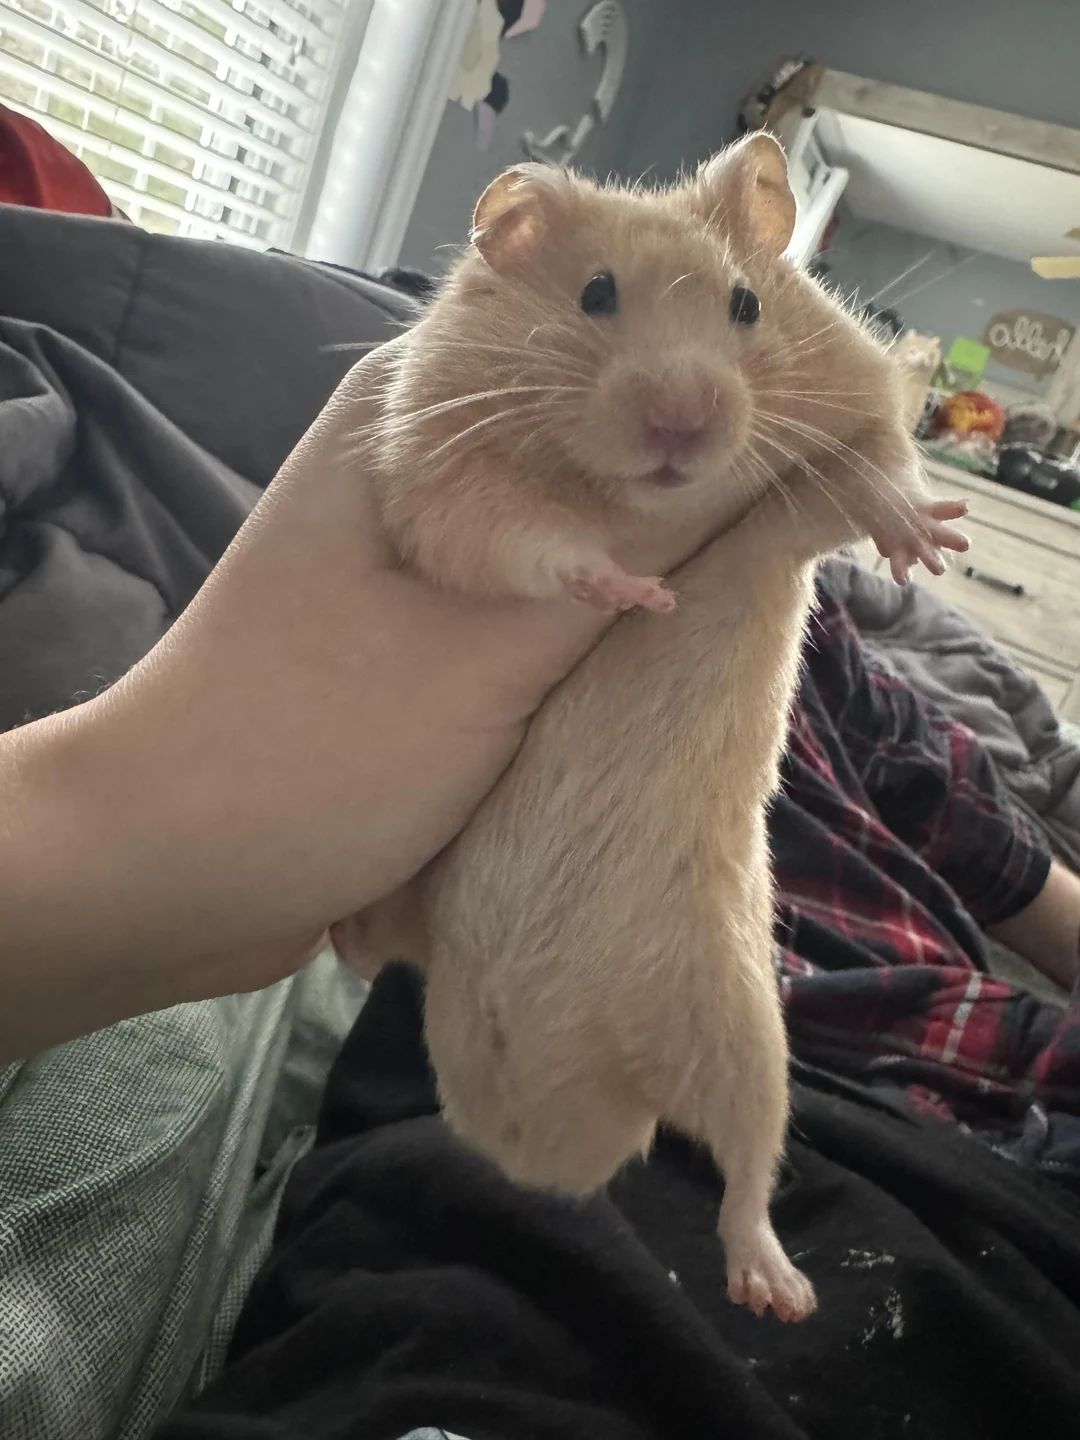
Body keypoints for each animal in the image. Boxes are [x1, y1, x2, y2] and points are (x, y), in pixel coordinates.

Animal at [336, 134, 967, 1322]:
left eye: (745, 304)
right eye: (595, 295)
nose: (686, 423)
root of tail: (549, 1136)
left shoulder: (820, 463)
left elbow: (874, 470)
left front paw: (929, 538)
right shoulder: (435, 471)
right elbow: (523, 538)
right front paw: (635, 589)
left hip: (745, 1028)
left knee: (746, 1173)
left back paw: (779, 1294)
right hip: (431, 899)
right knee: (378, 950)